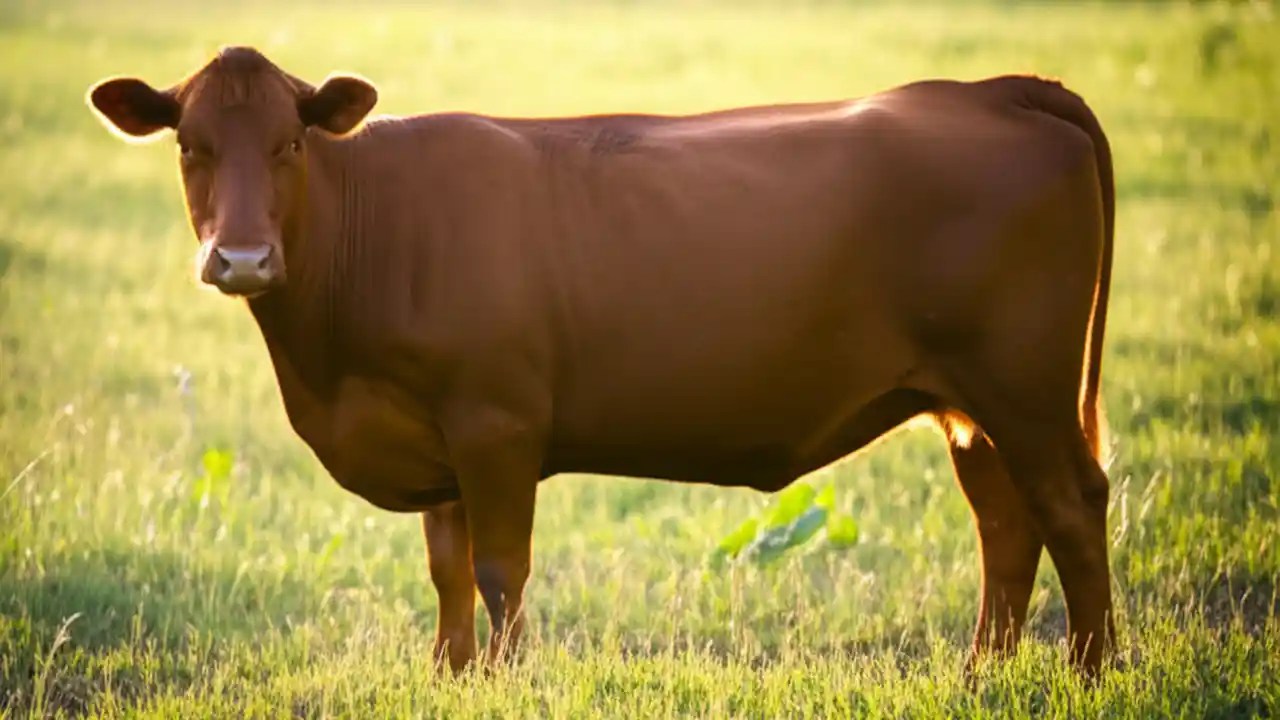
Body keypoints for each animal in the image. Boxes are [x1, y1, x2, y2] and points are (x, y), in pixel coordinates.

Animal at [88, 46, 1116, 675]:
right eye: (190, 146)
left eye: (291, 142)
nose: (242, 258)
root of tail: (990, 89)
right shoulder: (438, 444)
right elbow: (447, 571)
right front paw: (451, 677)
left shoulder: (495, 423)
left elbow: (500, 570)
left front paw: (502, 680)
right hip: (969, 406)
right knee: (1003, 521)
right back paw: (983, 672)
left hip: (1024, 390)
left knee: (1069, 505)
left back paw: (1090, 670)